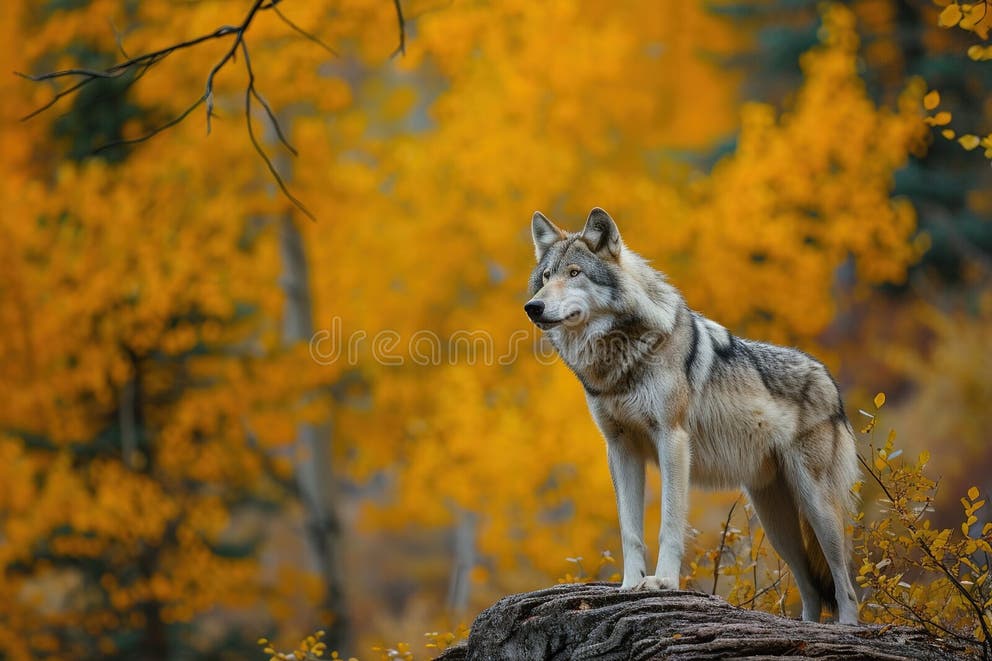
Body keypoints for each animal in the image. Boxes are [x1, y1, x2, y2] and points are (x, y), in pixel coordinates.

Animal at [524, 207, 860, 624]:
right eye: (546, 277)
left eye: (574, 273)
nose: (533, 307)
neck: (619, 358)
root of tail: (830, 381)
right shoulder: (619, 447)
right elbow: (629, 530)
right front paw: (629, 586)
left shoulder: (672, 438)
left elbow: (669, 522)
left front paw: (663, 582)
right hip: (776, 521)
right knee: (812, 588)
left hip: (817, 508)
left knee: (844, 584)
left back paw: (847, 628)